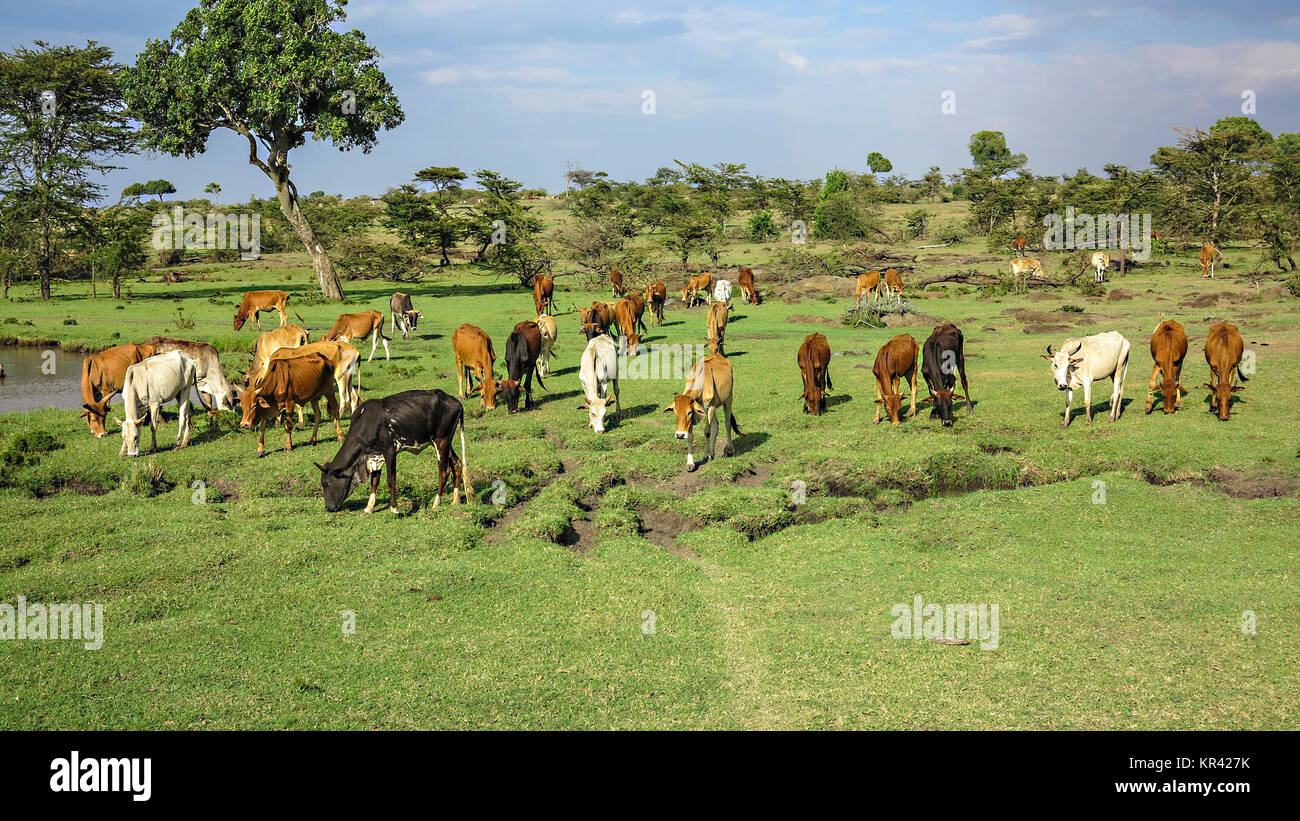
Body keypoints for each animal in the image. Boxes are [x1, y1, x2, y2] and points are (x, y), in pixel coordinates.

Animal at [316, 390, 470, 513]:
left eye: (325, 483)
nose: (328, 508)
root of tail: (455, 401)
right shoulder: (375, 456)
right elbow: (374, 481)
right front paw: (369, 508)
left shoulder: (390, 450)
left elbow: (391, 479)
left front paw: (394, 508)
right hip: (444, 442)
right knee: (456, 464)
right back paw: (455, 500)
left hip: (441, 441)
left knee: (443, 472)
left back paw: (436, 503)